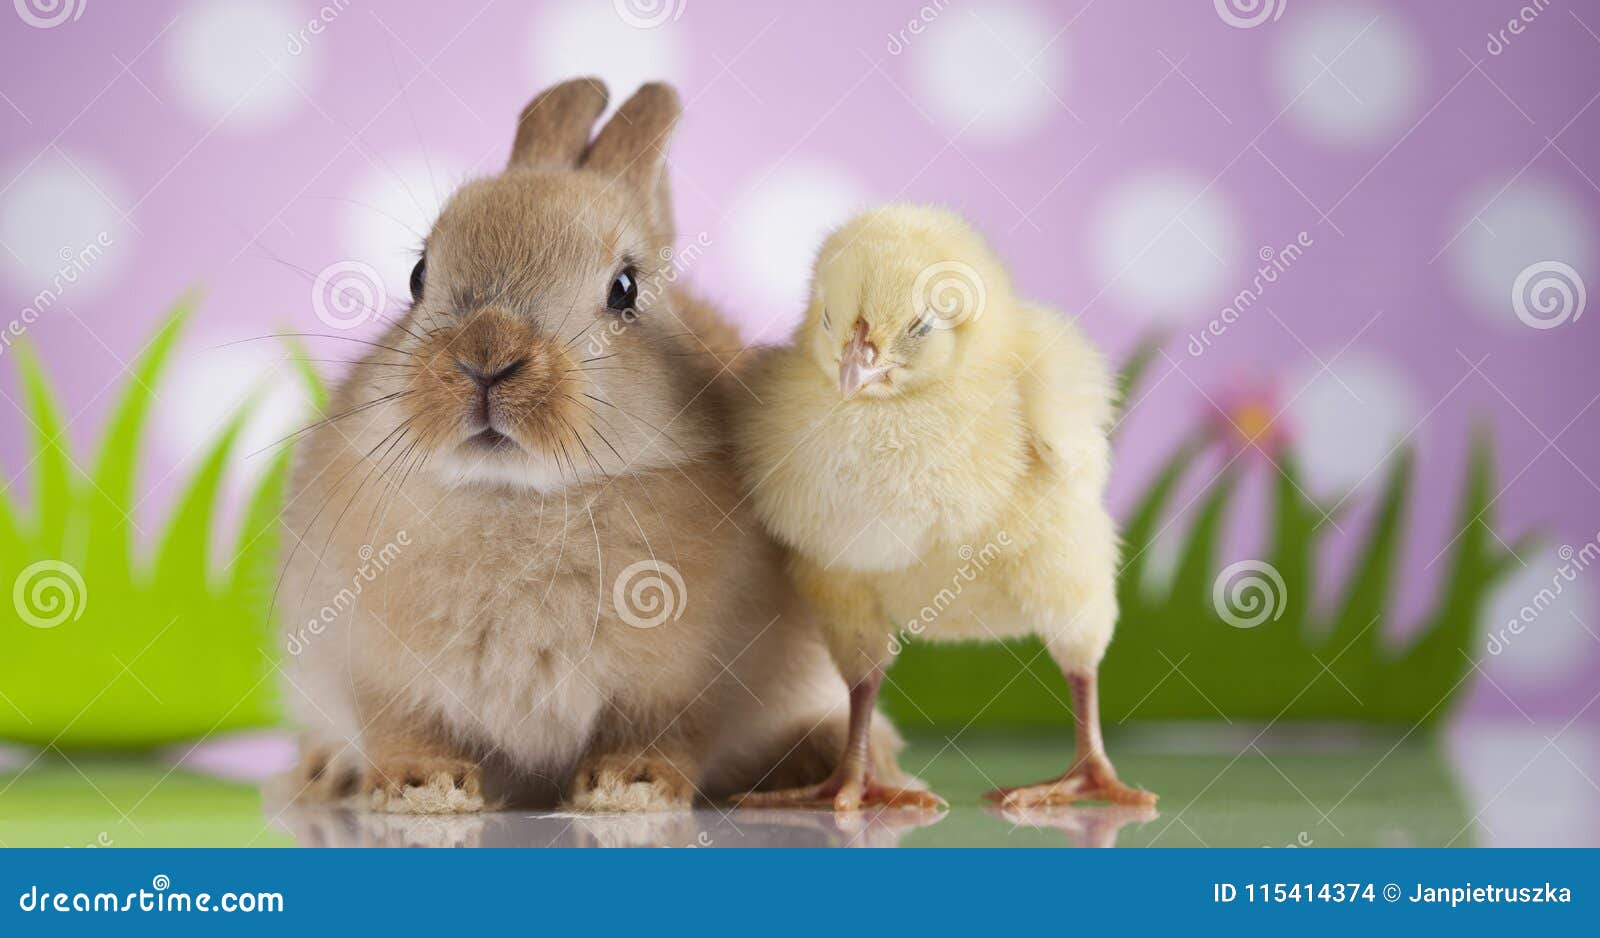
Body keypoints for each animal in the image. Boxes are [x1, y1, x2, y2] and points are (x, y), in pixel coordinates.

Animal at [275, 79, 911, 814]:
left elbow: (664, 733)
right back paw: (322, 775)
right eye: (418, 276)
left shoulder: (682, 685)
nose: (486, 360)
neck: (518, 498)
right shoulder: (379, 675)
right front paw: (422, 788)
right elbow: (406, 730)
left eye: (625, 289)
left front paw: (627, 787)